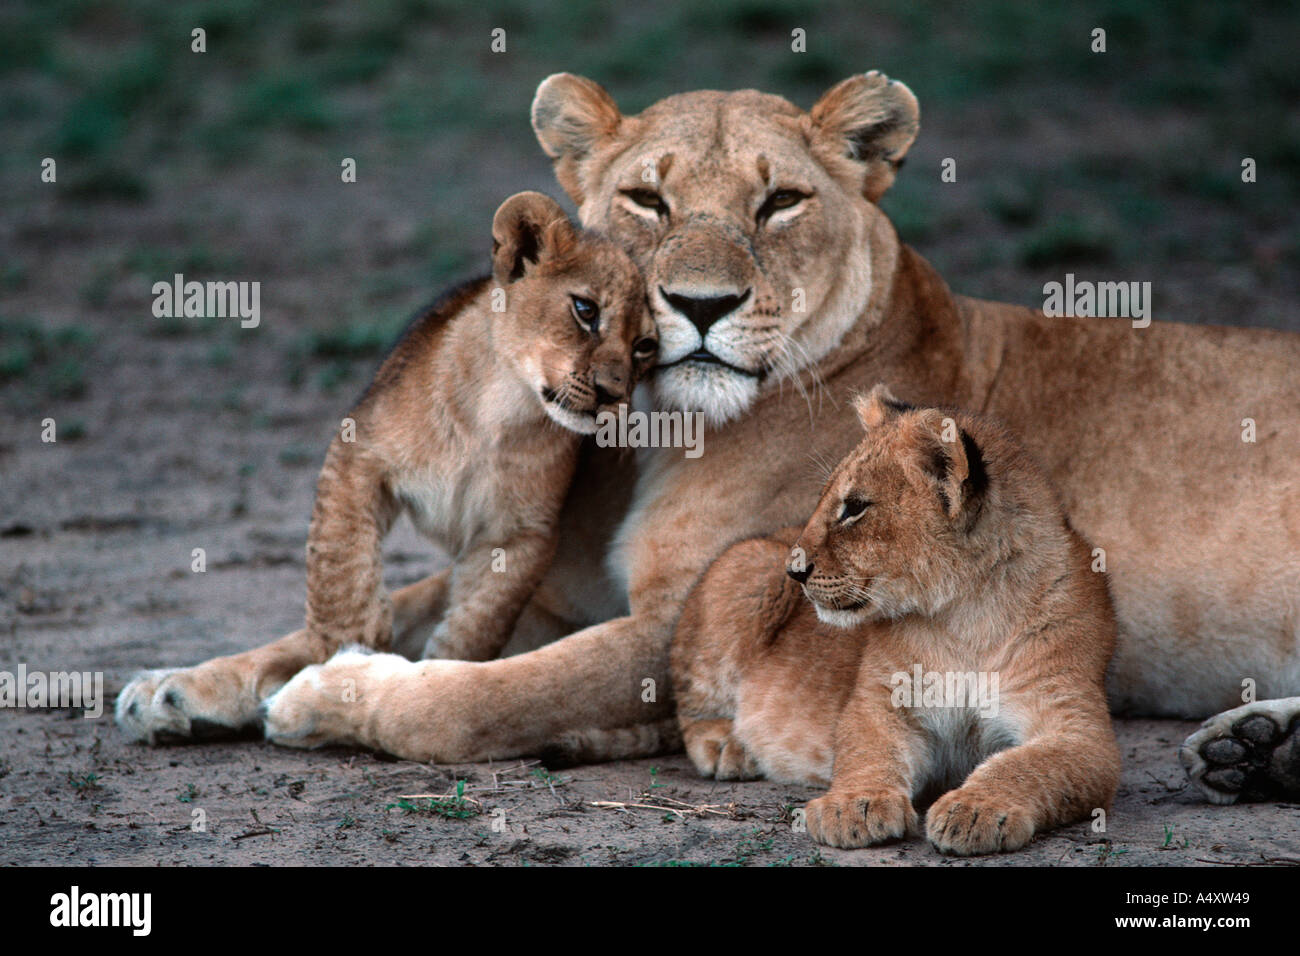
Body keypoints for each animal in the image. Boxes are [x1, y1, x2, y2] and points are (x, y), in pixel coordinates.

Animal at [116, 191, 656, 743]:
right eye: (586, 310)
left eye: (645, 347)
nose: (613, 393)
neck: (502, 411)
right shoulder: (357, 454)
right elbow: (340, 565)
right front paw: (347, 645)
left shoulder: (519, 533)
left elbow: (480, 617)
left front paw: (432, 665)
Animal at [671, 384, 1120, 854]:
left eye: (854, 508)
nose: (794, 570)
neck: (967, 613)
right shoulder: (879, 700)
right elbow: (868, 751)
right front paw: (854, 806)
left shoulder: (1075, 724)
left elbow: (1026, 765)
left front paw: (974, 809)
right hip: (746, 566)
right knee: (691, 702)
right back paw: (727, 744)